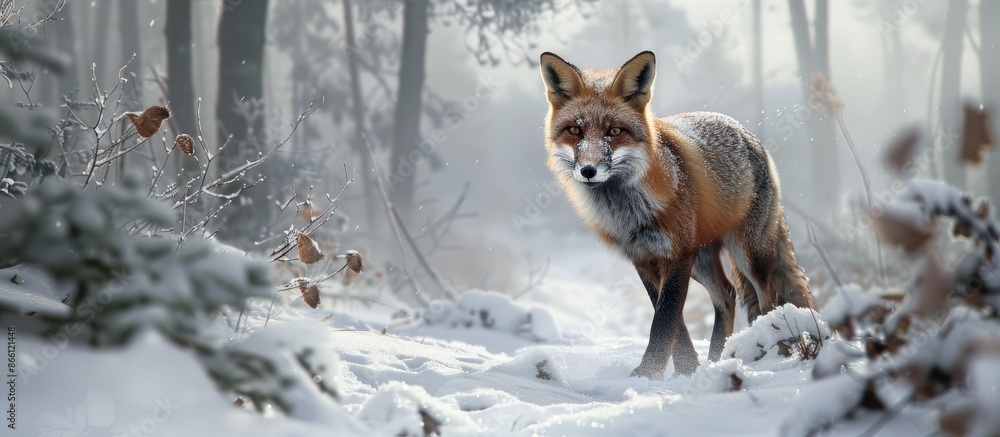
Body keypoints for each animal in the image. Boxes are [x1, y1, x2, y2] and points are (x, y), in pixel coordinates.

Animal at [539, 51, 815, 379]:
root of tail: (750, 137)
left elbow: (665, 317)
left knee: (768, 297)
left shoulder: (677, 253)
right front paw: (686, 370)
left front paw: (648, 373)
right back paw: (715, 362)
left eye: (614, 131)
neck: (630, 212)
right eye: (575, 130)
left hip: (747, 254)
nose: (588, 171)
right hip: (703, 258)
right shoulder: (643, 258)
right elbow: (673, 321)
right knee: (727, 295)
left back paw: (772, 352)